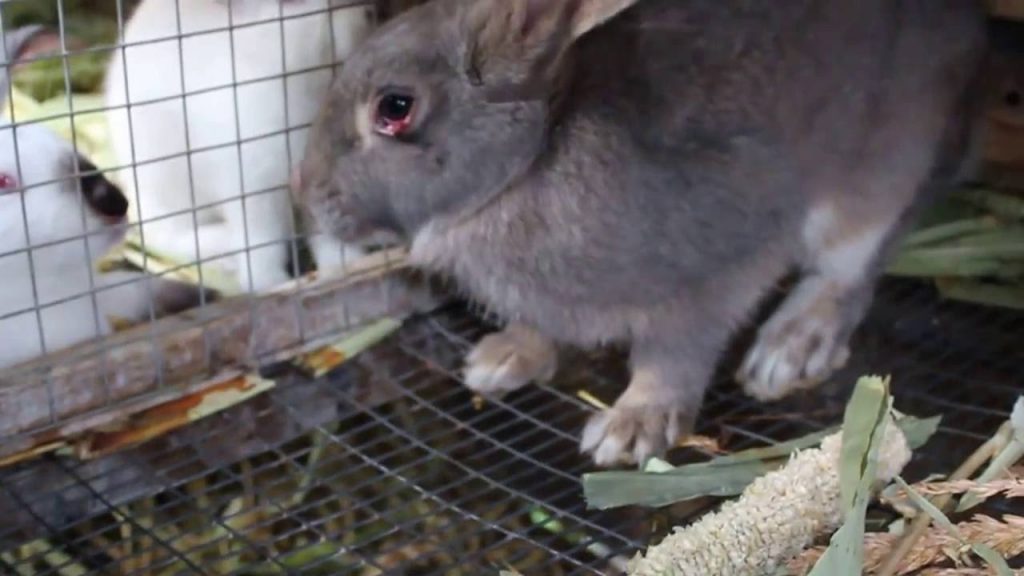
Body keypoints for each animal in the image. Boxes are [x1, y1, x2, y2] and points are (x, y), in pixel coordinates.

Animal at [104, 0, 375, 294]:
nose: (368, 11)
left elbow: (329, 237)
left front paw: (346, 267)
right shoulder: (252, 187)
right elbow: (263, 242)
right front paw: (271, 284)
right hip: (165, 183)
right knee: (166, 237)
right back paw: (225, 250)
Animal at [296, 0, 989, 467]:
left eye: (395, 108)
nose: (306, 196)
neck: (529, 161)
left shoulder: (711, 279)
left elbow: (672, 356)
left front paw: (631, 428)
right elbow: (540, 327)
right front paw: (501, 359)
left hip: (873, 186)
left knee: (849, 272)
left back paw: (790, 349)